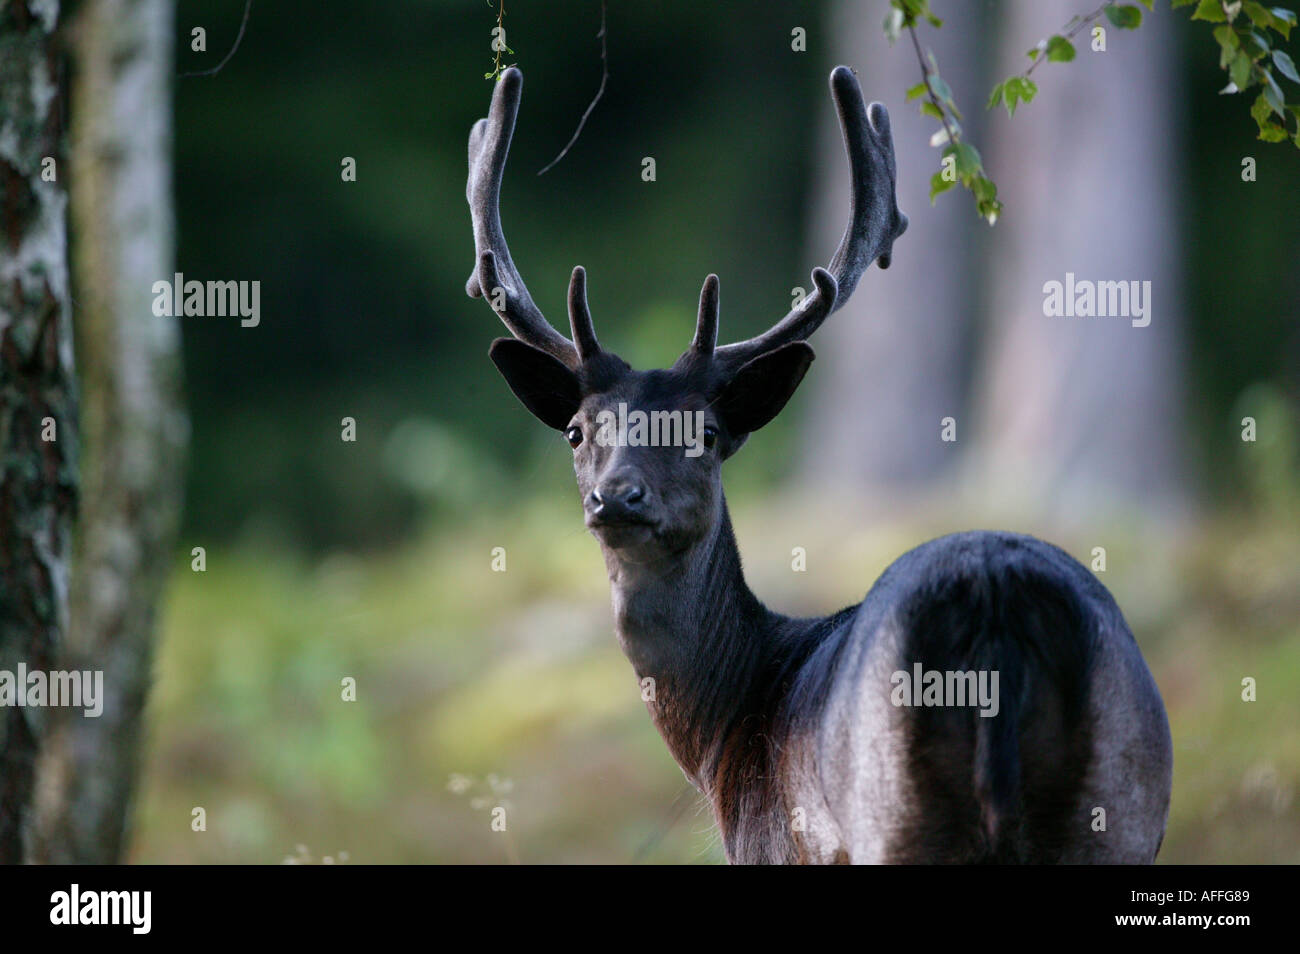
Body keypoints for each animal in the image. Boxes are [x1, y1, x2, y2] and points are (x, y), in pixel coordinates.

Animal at [464, 65, 1173, 864]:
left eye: (707, 431)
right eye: (576, 431)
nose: (618, 498)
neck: (723, 735)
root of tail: (999, 601)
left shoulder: (769, 846)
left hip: (892, 814)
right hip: (1124, 798)